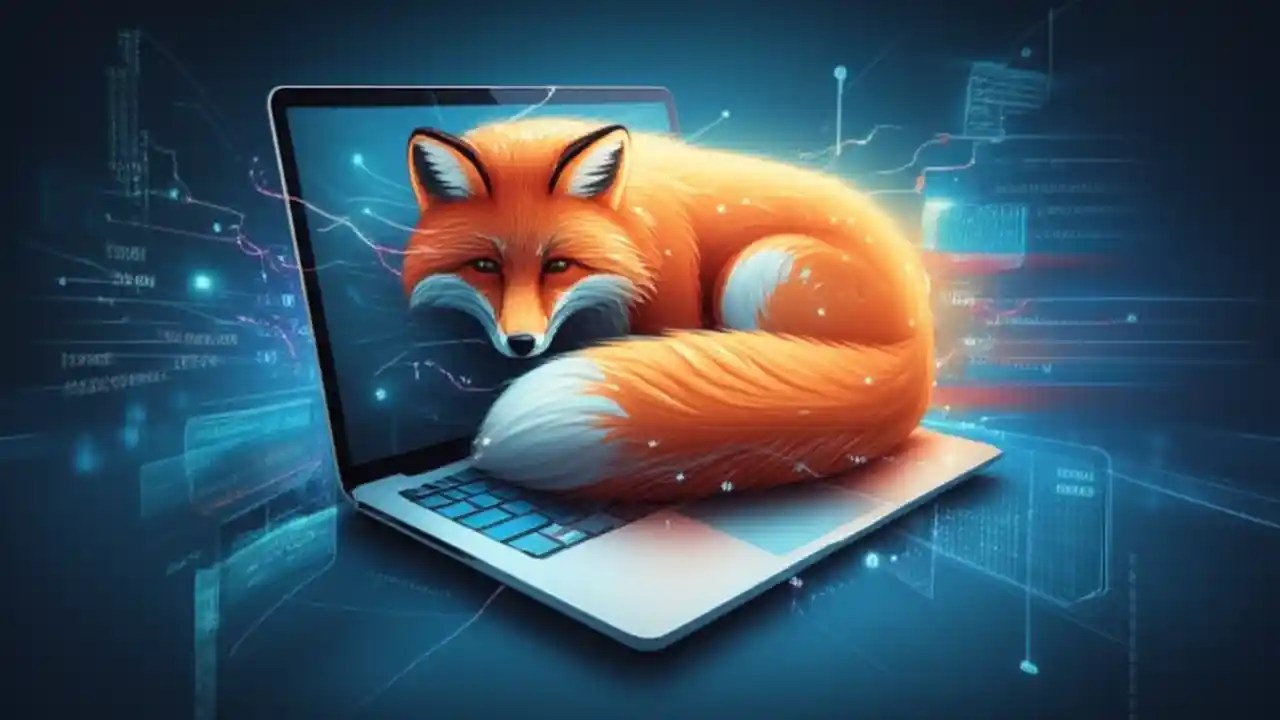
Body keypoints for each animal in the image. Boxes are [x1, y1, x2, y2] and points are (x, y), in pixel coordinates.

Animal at [401, 118, 934, 503]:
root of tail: (923, 339)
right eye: (485, 265)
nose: (522, 344)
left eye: (558, 265)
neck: (632, 223)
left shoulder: (673, 292)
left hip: (756, 270)